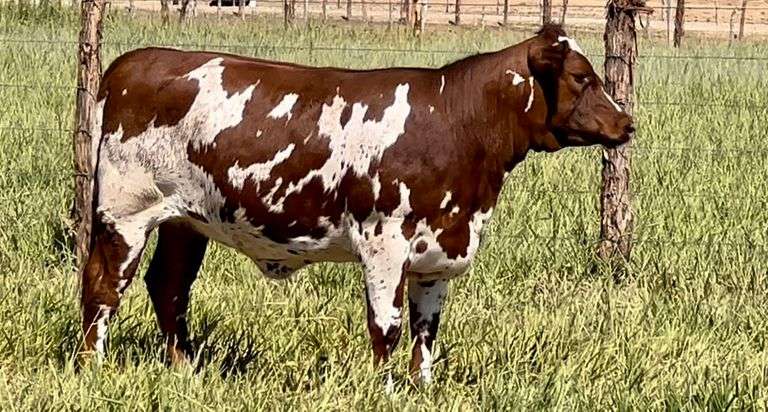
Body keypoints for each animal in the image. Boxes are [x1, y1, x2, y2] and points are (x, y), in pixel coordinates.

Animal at [80, 24, 633, 384]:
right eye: (582, 77)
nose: (627, 123)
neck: (458, 122)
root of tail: (135, 61)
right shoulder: (383, 241)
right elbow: (387, 327)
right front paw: (384, 391)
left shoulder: (436, 254)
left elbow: (425, 332)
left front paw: (420, 390)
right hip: (125, 214)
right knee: (104, 288)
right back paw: (93, 368)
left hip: (186, 221)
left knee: (168, 287)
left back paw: (184, 369)